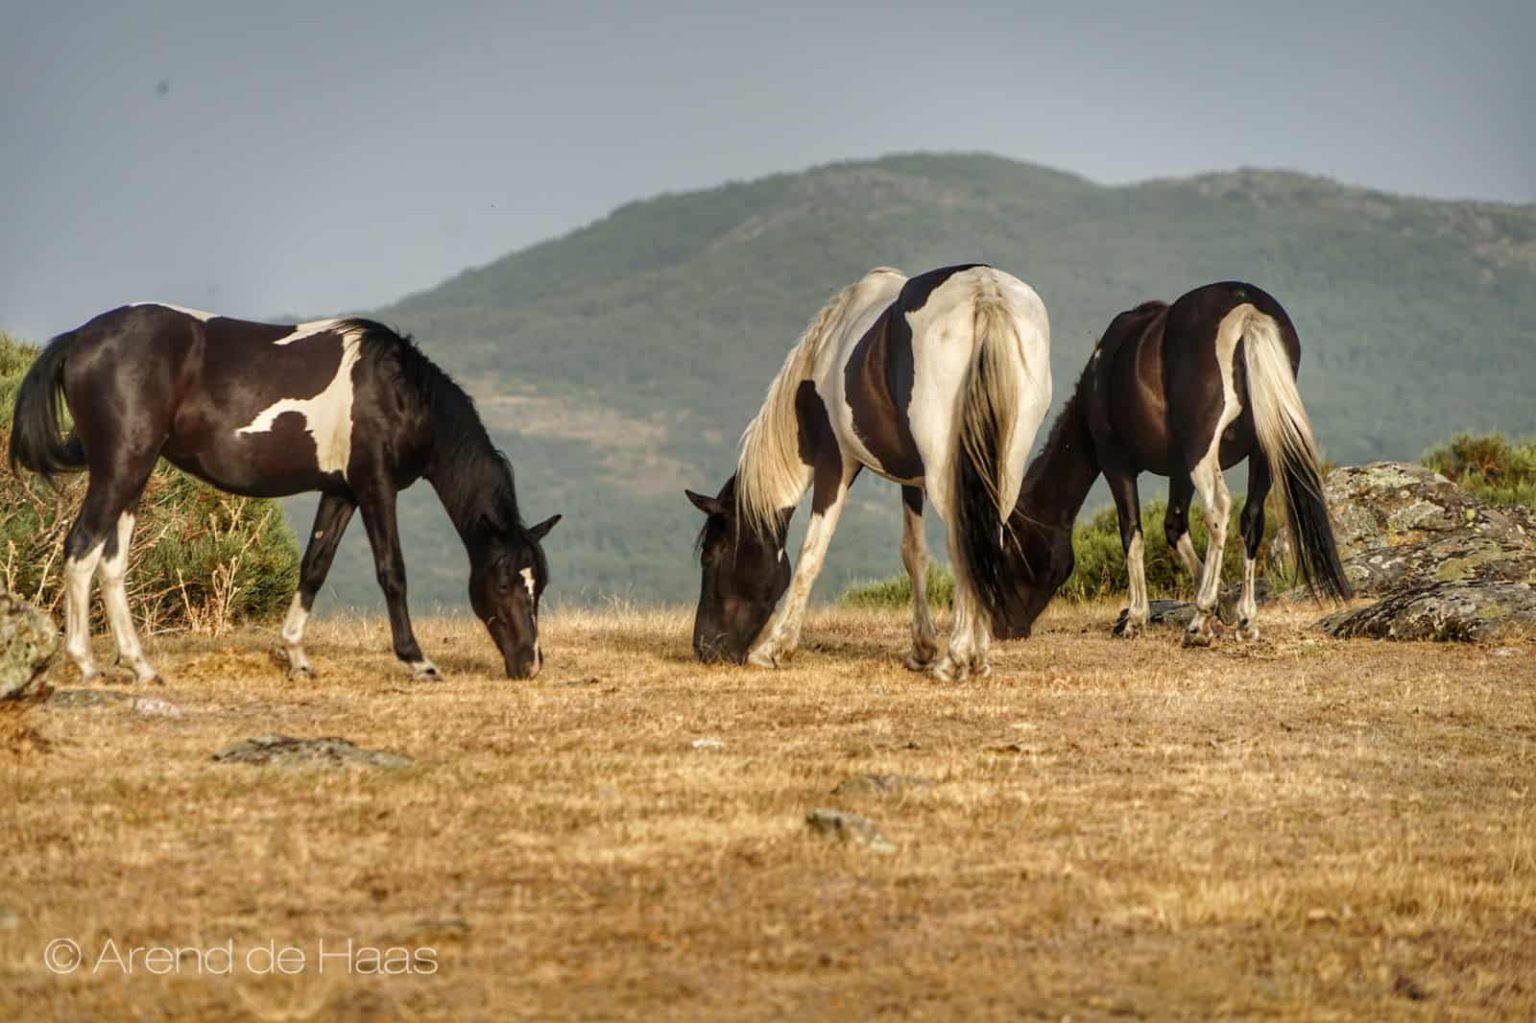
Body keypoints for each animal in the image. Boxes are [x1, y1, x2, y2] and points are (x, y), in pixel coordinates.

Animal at [9, 303, 560, 682]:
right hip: (121, 468)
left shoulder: (341, 491)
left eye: (540, 585)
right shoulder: (376, 486)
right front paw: (417, 661)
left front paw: (295, 655)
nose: (529, 664)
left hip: (132, 476)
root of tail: (80, 338)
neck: (398, 389)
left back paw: (140, 666)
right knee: (81, 550)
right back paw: (86, 664)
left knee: (111, 564)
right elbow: (392, 572)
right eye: (505, 584)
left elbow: (315, 566)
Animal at [685, 264, 1052, 681]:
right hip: (1002, 467)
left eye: (711, 555)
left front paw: (774, 648)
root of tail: (984, 292)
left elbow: (812, 552)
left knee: (964, 542)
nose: (705, 649)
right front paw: (921, 649)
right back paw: (974, 656)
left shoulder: (835, 461)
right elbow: (914, 553)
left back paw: (959, 657)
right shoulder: (912, 479)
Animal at [997, 281, 1349, 644]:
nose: (1005, 628)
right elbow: (1173, 526)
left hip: (1202, 450)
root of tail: (1247, 312)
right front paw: (1224, 602)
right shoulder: (1179, 470)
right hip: (1264, 449)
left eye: (1008, 553)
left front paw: (1136, 619)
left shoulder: (1116, 463)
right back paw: (1246, 621)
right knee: (1251, 519)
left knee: (1218, 508)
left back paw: (1199, 624)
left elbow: (1132, 533)